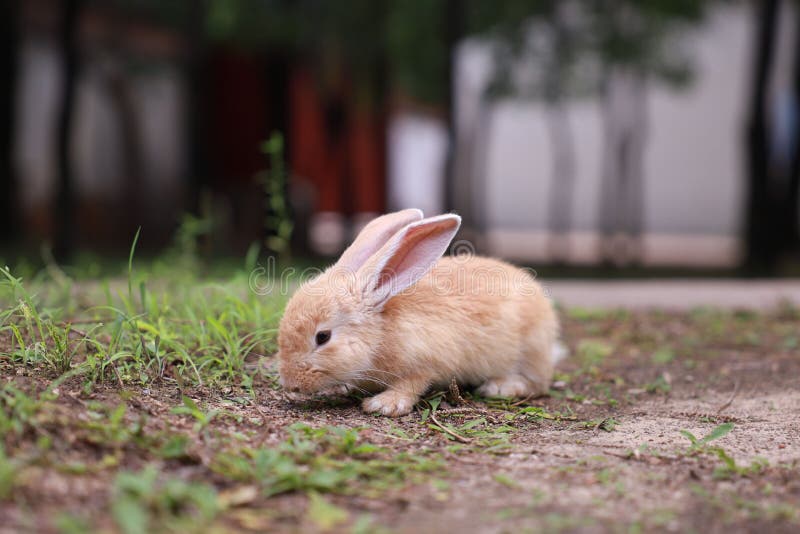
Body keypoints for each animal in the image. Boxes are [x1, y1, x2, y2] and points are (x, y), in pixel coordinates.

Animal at [276, 209, 562, 416]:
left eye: (322, 337)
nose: (291, 384)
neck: (381, 333)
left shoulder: (427, 361)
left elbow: (412, 383)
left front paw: (384, 405)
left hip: (530, 349)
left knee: (537, 383)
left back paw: (499, 386)